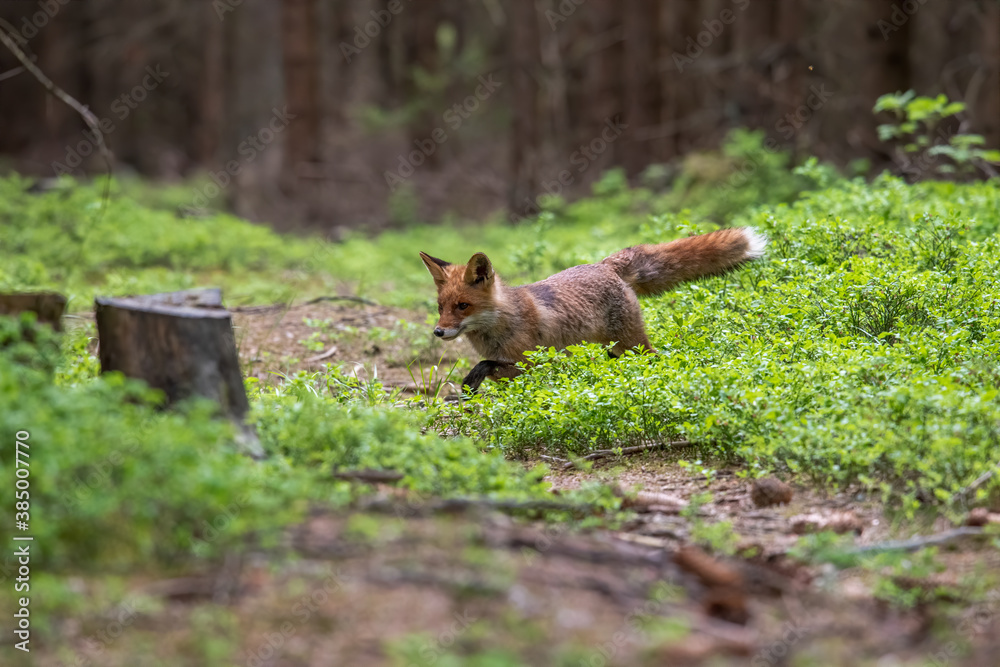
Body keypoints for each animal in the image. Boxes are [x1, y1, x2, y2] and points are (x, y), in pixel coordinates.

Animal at [419, 226, 767, 392]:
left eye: (463, 306)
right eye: (440, 307)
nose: (439, 331)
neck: (501, 324)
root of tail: (604, 264)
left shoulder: (529, 363)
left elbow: (487, 365)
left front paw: (470, 380)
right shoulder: (515, 371)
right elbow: (490, 369)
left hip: (634, 344)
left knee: (655, 357)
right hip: (612, 349)